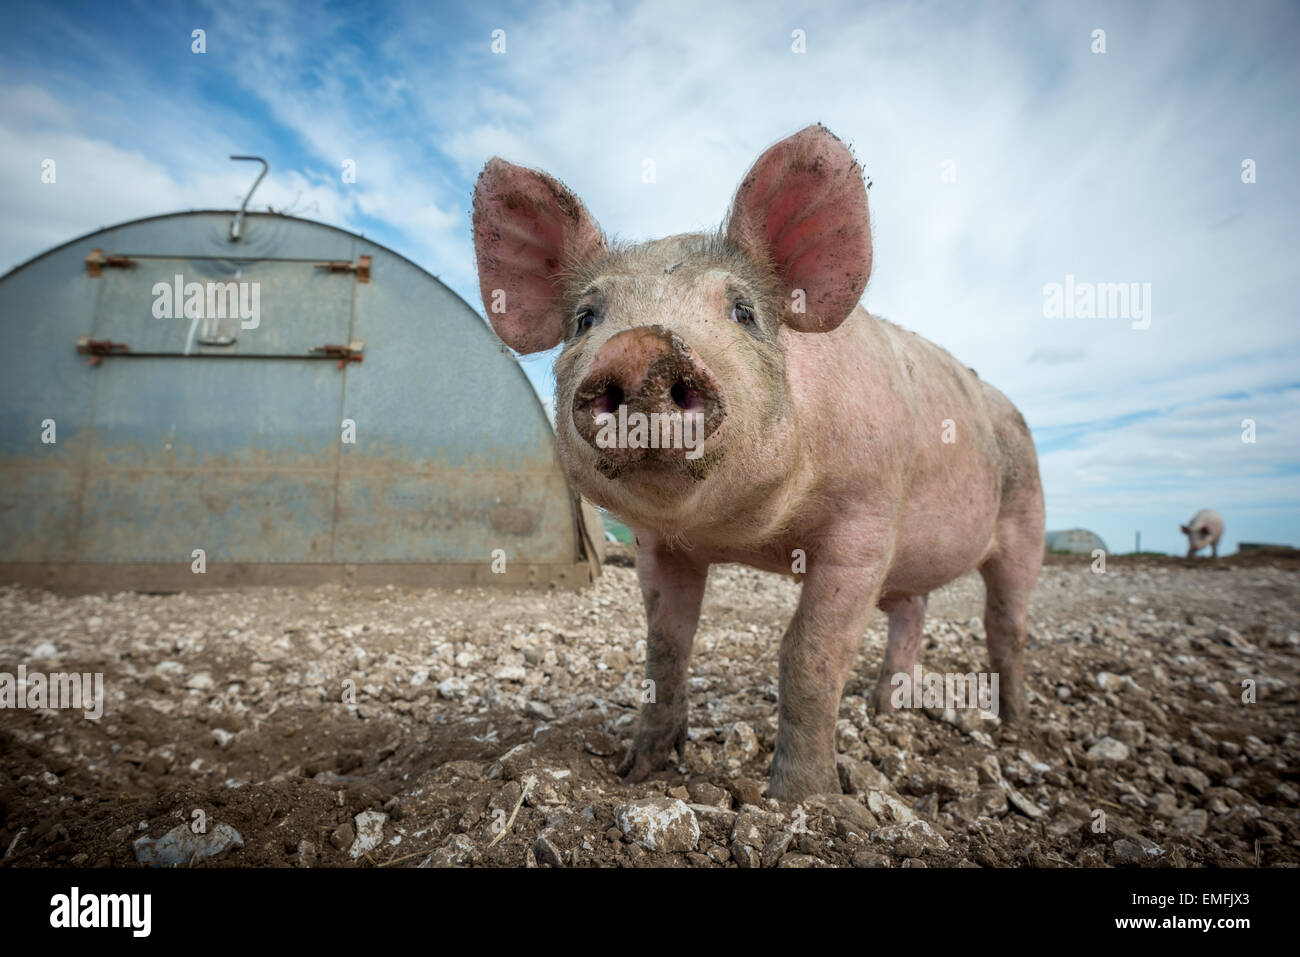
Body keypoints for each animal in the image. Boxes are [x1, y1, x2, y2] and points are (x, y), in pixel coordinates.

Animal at [471, 125, 1045, 802]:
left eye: (743, 311)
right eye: (586, 318)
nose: (640, 347)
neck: (747, 535)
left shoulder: (867, 521)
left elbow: (808, 654)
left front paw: (804, 799)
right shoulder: (657, 544)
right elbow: (665, 648)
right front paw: (637, 771)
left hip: (1025, 518)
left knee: (1005, 624)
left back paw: (1013, 725)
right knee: (911, 612)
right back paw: (883, 711)